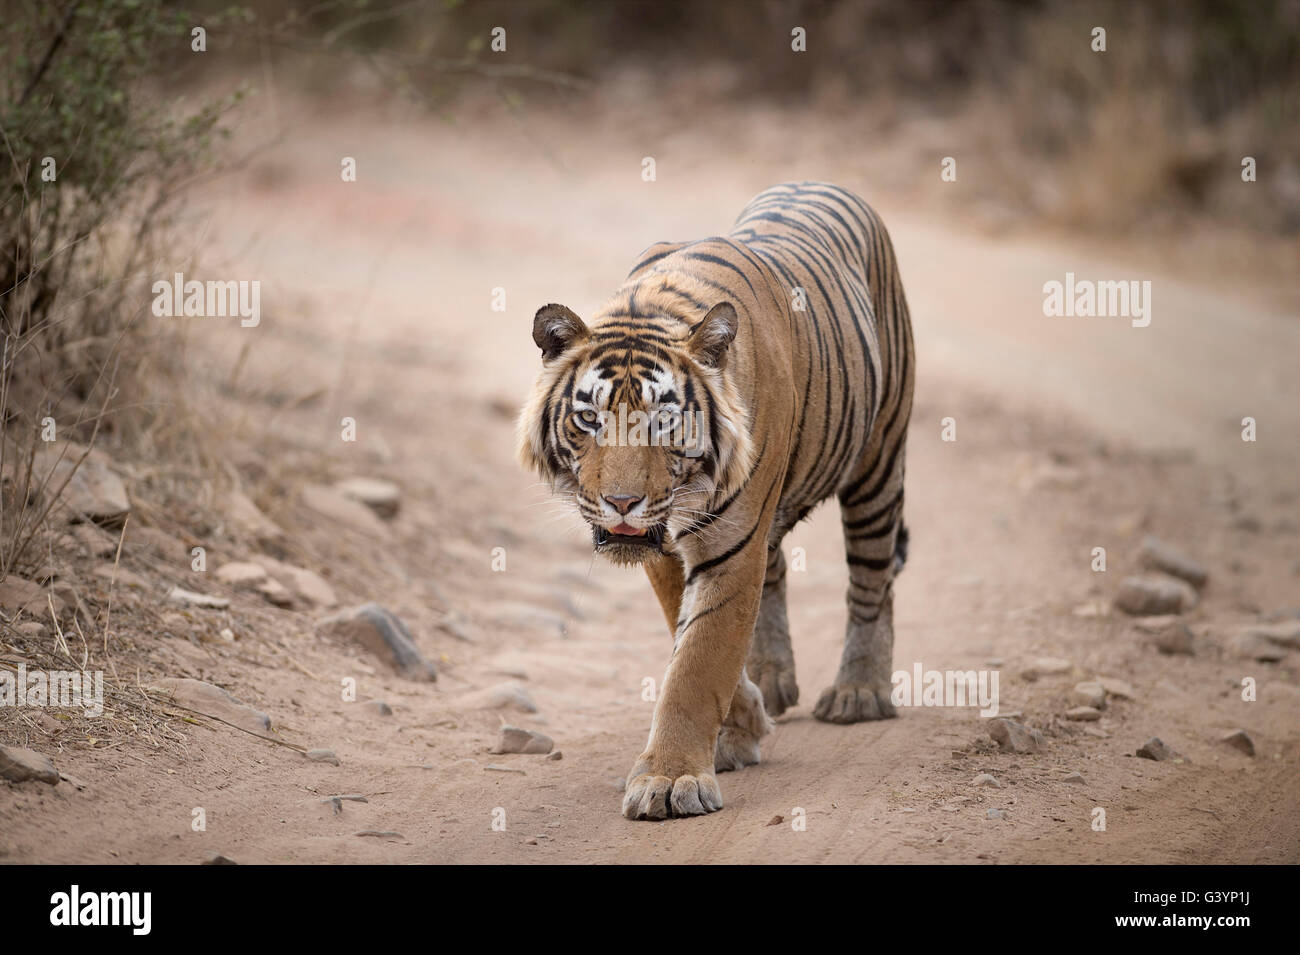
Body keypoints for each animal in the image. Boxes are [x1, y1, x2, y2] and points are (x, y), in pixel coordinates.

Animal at [518, 182, 915, 820]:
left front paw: (670, 780)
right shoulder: (665, 549)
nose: (622, 502)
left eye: (664, 419)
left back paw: (861, 691)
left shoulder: (732, 542)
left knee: (873, 581)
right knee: (776, 577)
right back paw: (775, 683)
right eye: (589, 418)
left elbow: (698, 661)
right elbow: (694, 635)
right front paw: (742, 724)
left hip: (878, 461)